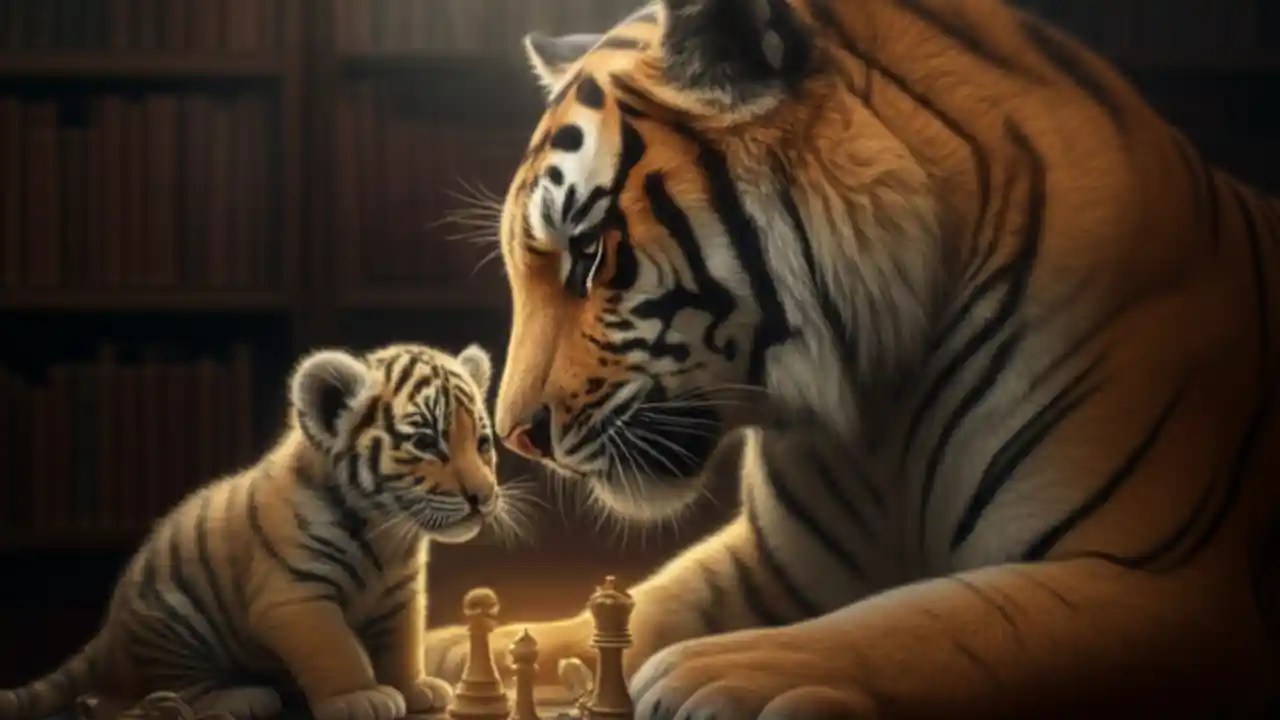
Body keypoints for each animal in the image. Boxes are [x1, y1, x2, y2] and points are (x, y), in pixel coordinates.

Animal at [1, 342, 507, 720]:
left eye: (482, 443)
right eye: (426, 443)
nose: (483, 497)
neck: (389, 531)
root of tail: (108, 633)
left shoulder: (402, 594)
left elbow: (401, 643)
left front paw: (414, 686)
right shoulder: (295, 595)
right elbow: (336, 647)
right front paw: (359, 696)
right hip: (175, 623)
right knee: (174, 689)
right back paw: (243, 697)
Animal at [420, 0, 1280, 717]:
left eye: (591, 253)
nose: (518, 438)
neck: (875, 410)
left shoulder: (1161, 581)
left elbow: (936, 619)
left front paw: (720, 671)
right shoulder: (770, 565)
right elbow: (653, 596)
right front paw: (460, 649)